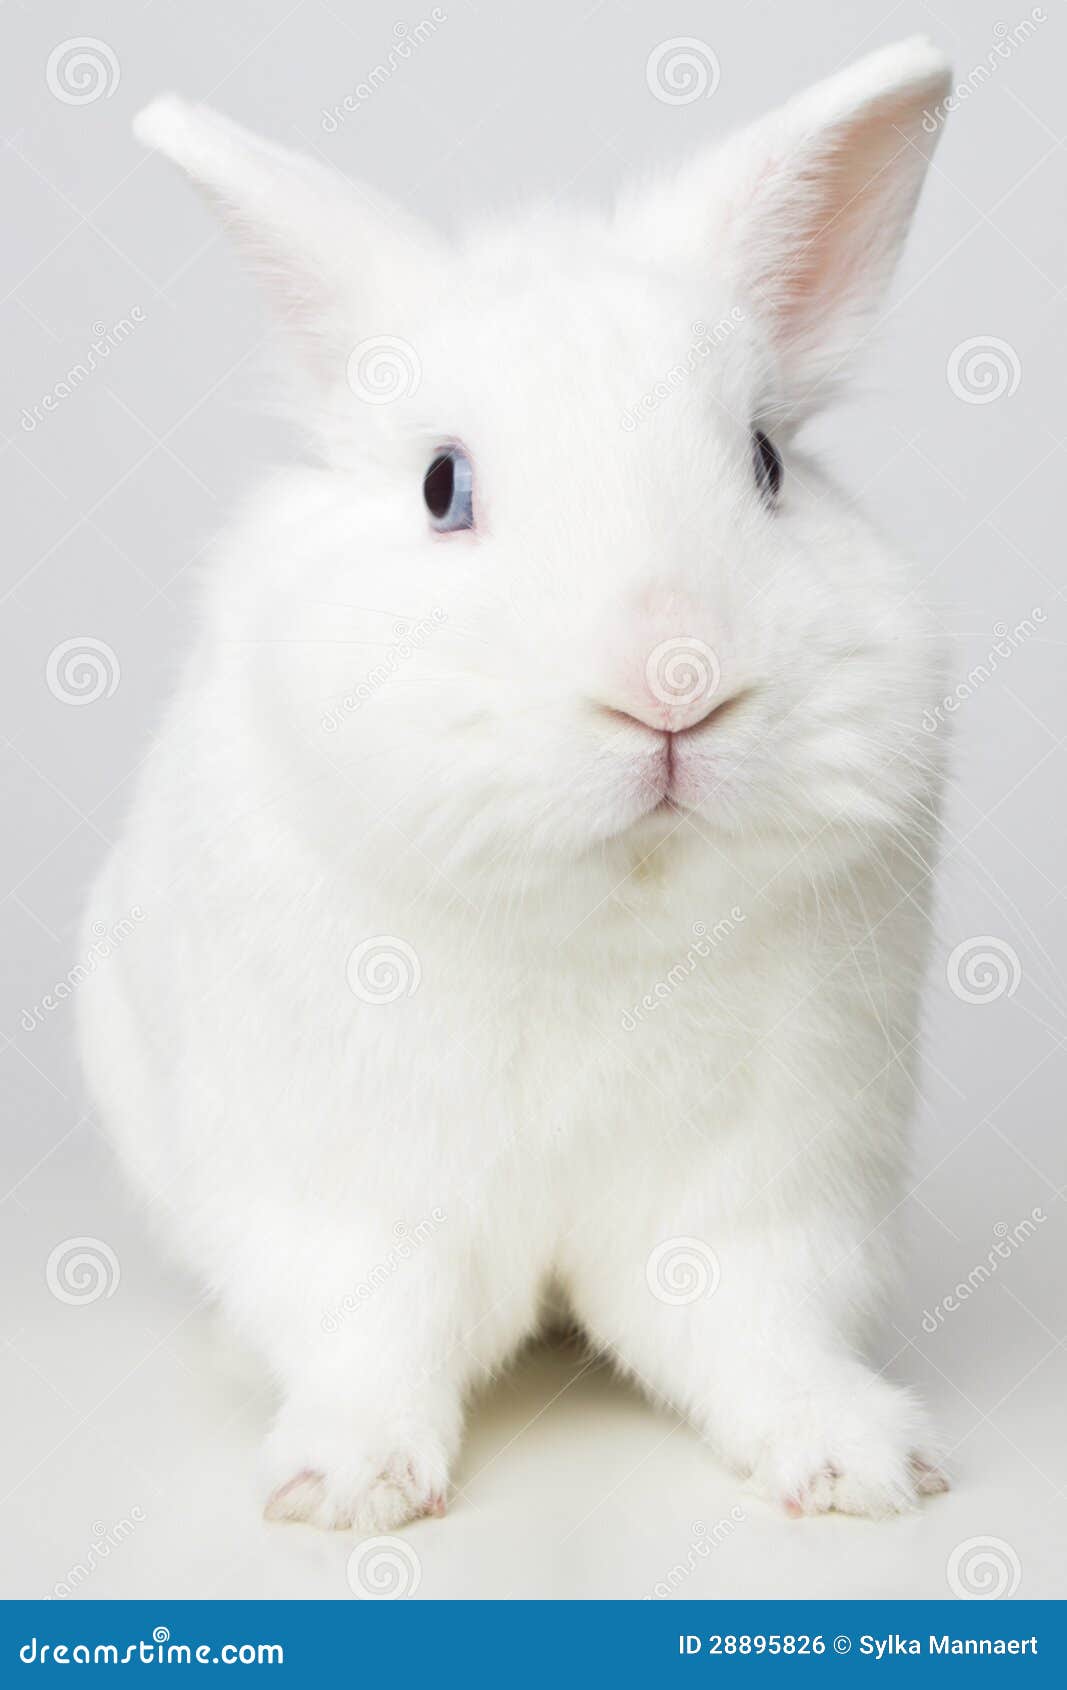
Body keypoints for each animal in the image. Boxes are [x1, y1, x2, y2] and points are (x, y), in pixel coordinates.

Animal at [78, 38, 955, 1531]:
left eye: (765, 463)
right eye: (443, 485)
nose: (670, 681)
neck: (596, 921)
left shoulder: (761, 1203)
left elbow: (758, 1331)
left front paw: (855, 1465)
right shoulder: (351, 1199)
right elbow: (373, 1328)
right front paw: (346, 1485)